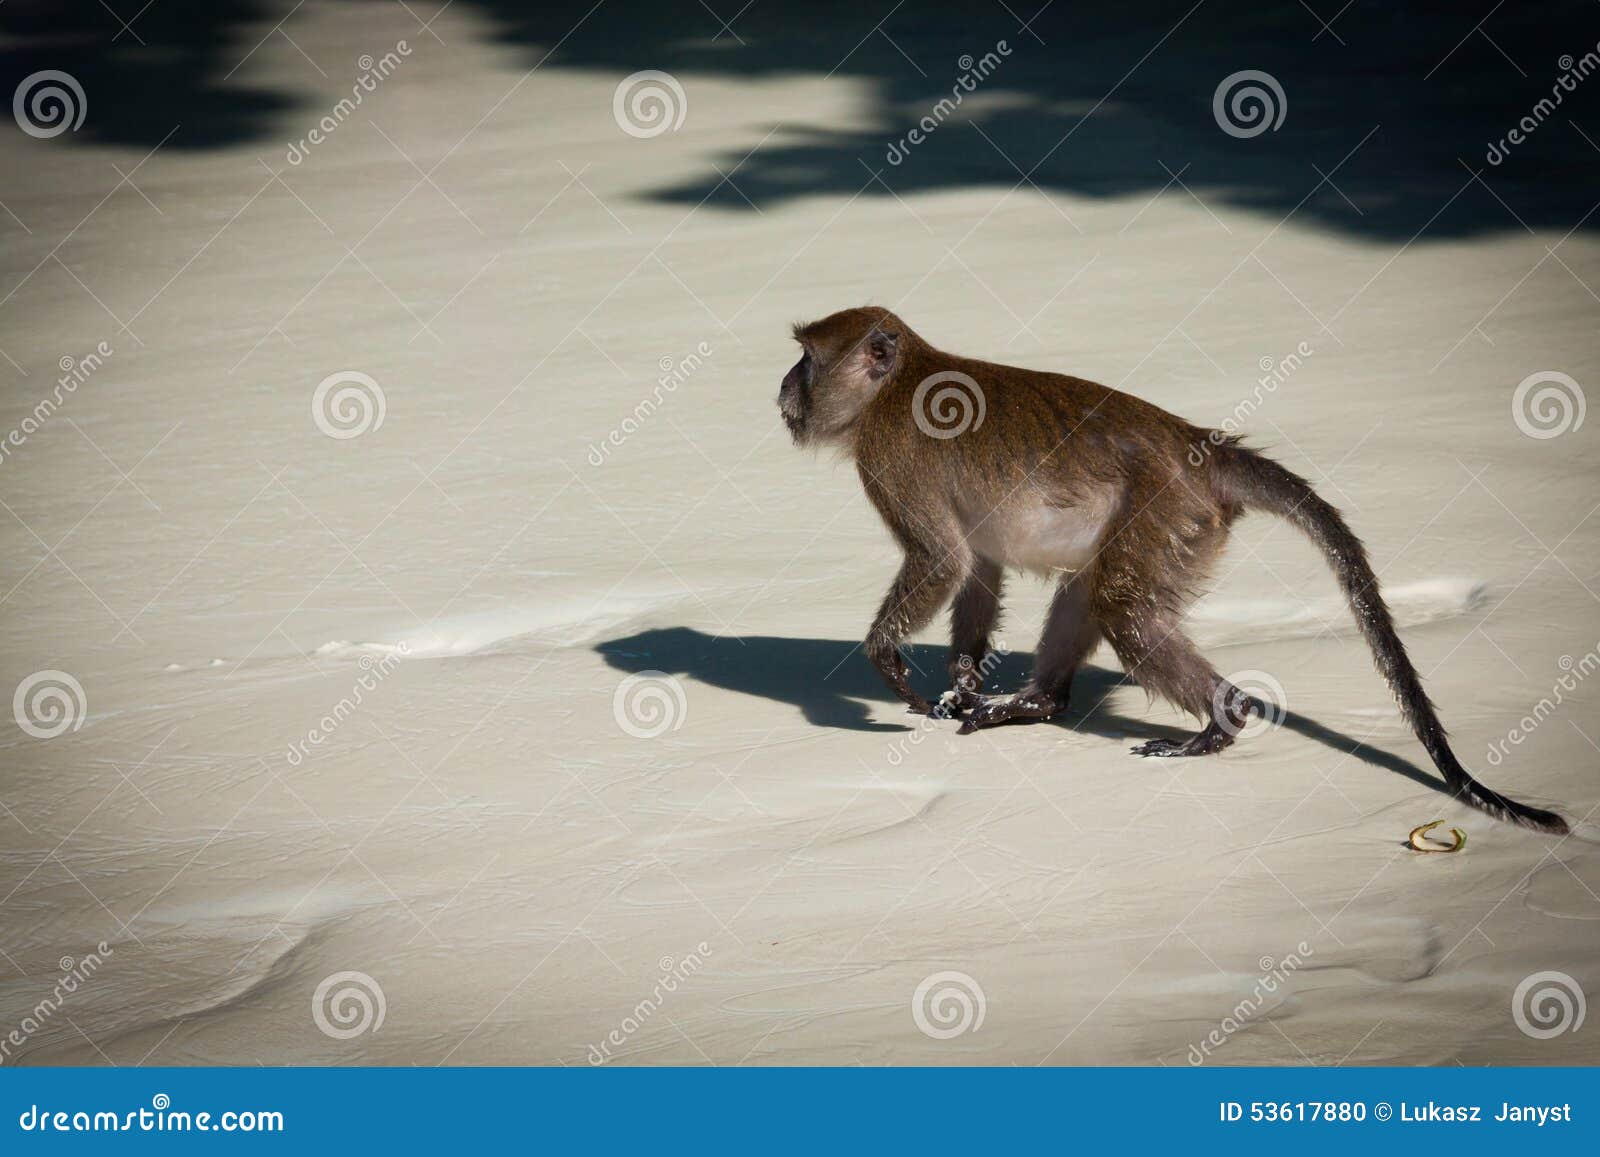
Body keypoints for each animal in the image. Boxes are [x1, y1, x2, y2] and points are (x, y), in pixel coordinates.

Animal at [777, 306, 1567, 835]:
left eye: (808, 359)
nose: (783, 387)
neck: (893, 386)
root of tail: (1200, 448)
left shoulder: (890, 456)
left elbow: (942, 560)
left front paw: (889, 665)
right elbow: (977, 568)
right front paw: (963, 686)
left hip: (1167, 514)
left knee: (1124, 608)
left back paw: (1221, 720)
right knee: (1094, 591)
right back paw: (1039, 702)